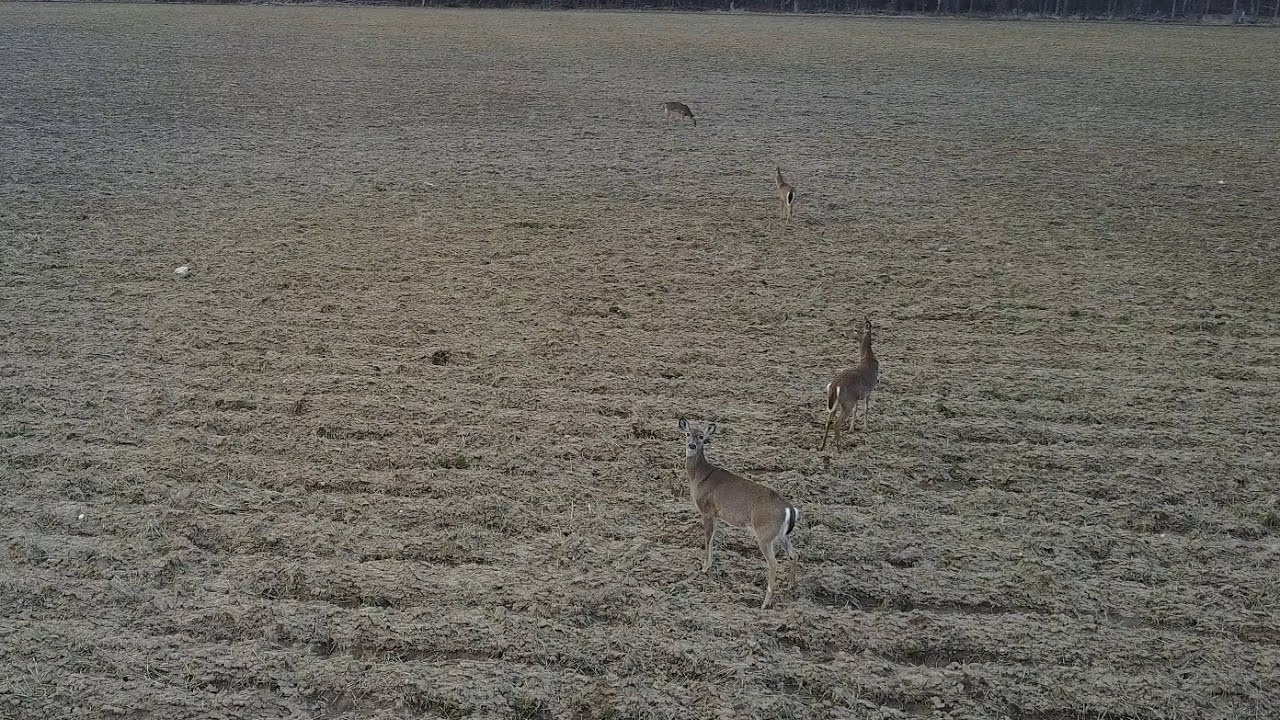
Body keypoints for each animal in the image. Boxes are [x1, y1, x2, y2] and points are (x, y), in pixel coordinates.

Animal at [678, 419, 799, 609]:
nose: (692, 445)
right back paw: (790, 585)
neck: (699, 476)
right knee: (794, 553)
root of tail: (789, 509)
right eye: (687, 434)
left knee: (774, 563)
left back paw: (765, 603)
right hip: (781, 534)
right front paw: (709, 565)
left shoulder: (706, 509)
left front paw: (704, 568)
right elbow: (713, 537)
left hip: (765, 533)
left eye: (701, 436)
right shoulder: (716, 514)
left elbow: (707, 538)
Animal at [821, 318, 880, 452]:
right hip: (847, 402)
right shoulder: (869, 391)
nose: (844, 332)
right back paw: (839, 448)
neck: (868, 358)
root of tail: (835, 385)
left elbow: (856, 410)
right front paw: (866, 429)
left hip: (837, 402)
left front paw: (851, 429)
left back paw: (822, 447)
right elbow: (866, 409)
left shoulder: (857, 396)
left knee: (828, 420)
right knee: (836, 423)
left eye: (856, 329)